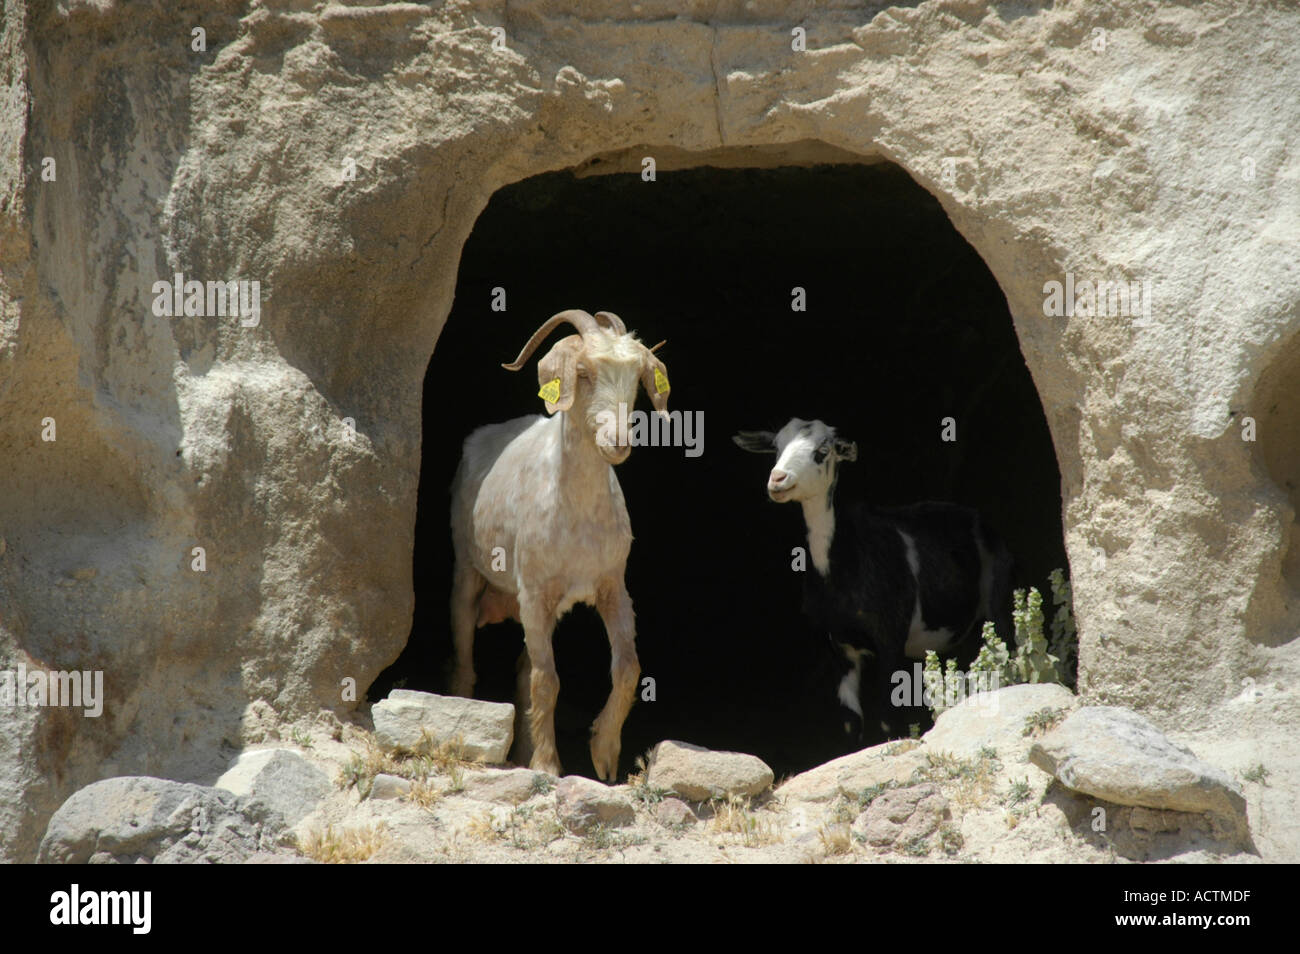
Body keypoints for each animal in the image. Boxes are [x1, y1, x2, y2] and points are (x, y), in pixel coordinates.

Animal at [449, 308, 671, 780]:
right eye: (583, 372)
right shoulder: (534, 592)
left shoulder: (612, 586)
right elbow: (547, 680)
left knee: (522, 671)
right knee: (464, 661)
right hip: (467, 569)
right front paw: (548, 764)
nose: (618, 441)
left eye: (638, 377)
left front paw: (604, 753)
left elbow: (627, 668)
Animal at [733, 418, 1013, 744]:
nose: (778, 480)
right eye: (777, 447)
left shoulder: (890, 640)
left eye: (822, 451)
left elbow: (887, 721)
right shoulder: (838, 646)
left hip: (998, 600)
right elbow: (850, 722)